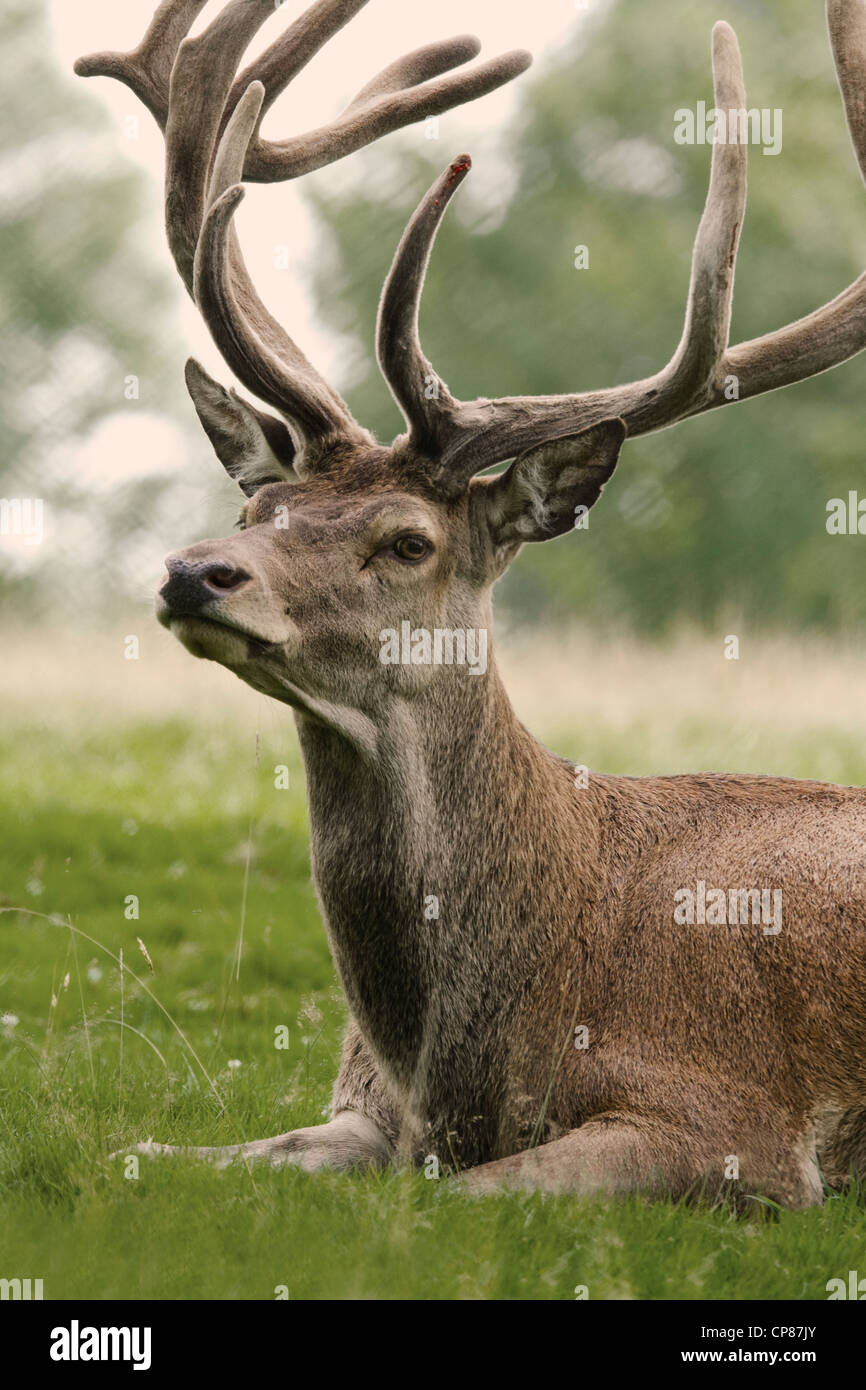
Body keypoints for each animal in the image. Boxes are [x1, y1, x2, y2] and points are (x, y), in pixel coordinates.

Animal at [75, 0, 866, 1208]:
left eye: (409, 540)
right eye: (259, 504)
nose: (193, 571)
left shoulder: (738, 1124)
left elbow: (457, 1193)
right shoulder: (361, 1111)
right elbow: (144, 1153)